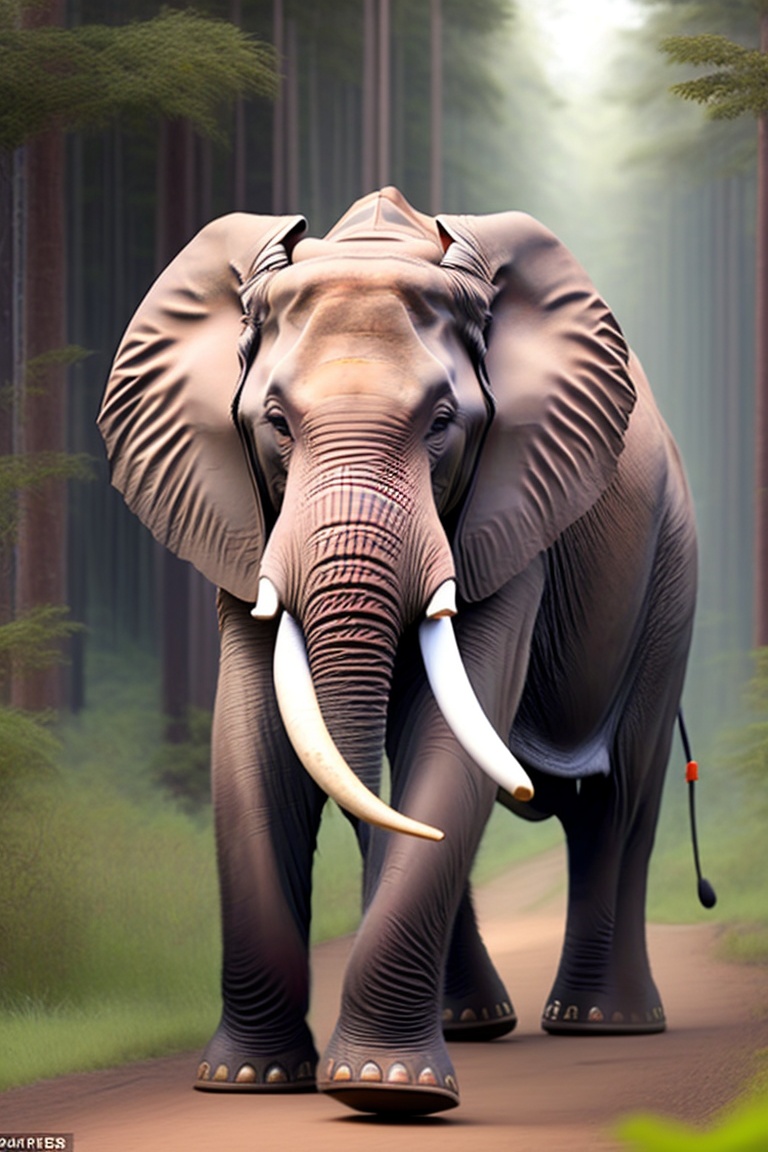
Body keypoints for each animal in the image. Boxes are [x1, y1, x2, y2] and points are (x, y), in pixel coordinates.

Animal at [98, 186, 697, 1116]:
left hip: (668, 573)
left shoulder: (510, 503)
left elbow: (453, 733)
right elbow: (248, 739)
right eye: (274, 423)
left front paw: (389, 1094)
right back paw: (480, 1023)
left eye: (444, 423)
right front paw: (246, 1084)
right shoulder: (235, 508)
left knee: (619, 799)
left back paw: (603, 1025)